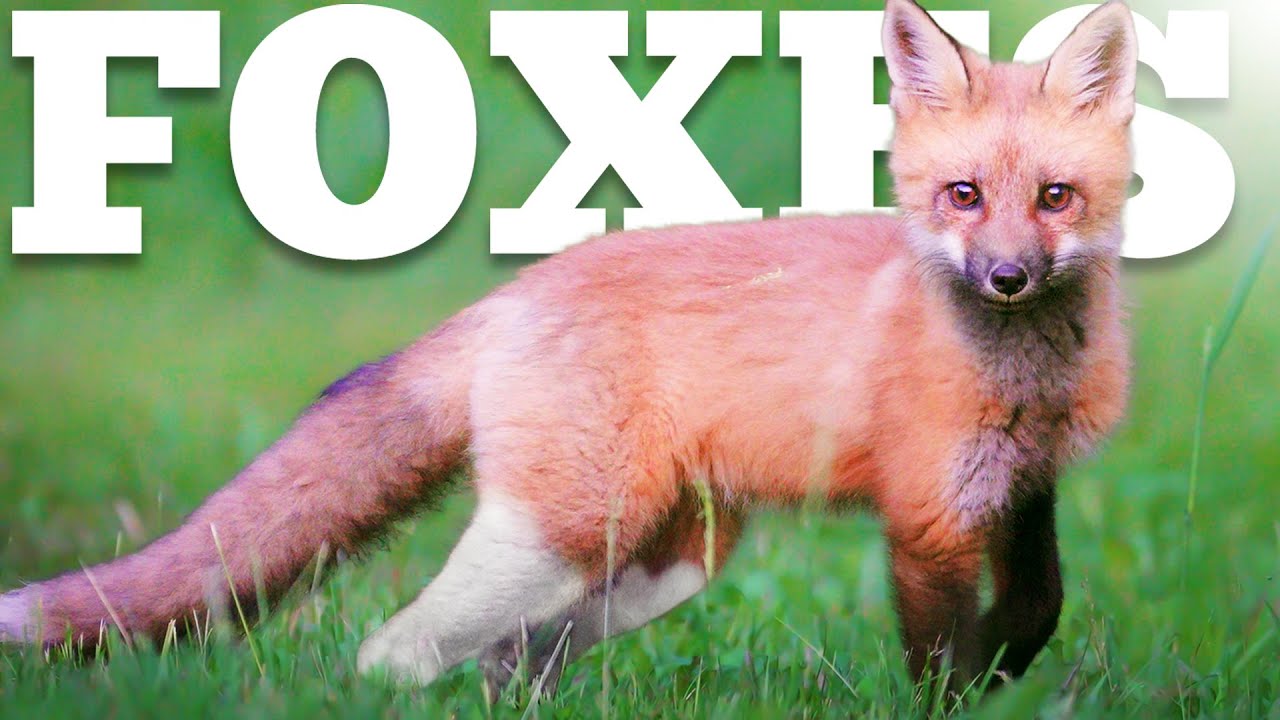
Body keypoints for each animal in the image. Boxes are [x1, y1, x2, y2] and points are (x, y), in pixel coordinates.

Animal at [0, 0, 1135, 697]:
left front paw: (1007, 671)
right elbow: (939, 672)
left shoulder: (1019, 490)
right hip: (560, 534)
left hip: (655, 561)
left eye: (1053, 197)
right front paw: (966, 692)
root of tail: (512, 293)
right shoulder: (925, 520)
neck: (1021, 376)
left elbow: (1037, 607)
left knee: (508, 663)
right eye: (962, 195)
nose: (1006, 277)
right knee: (393, 653)